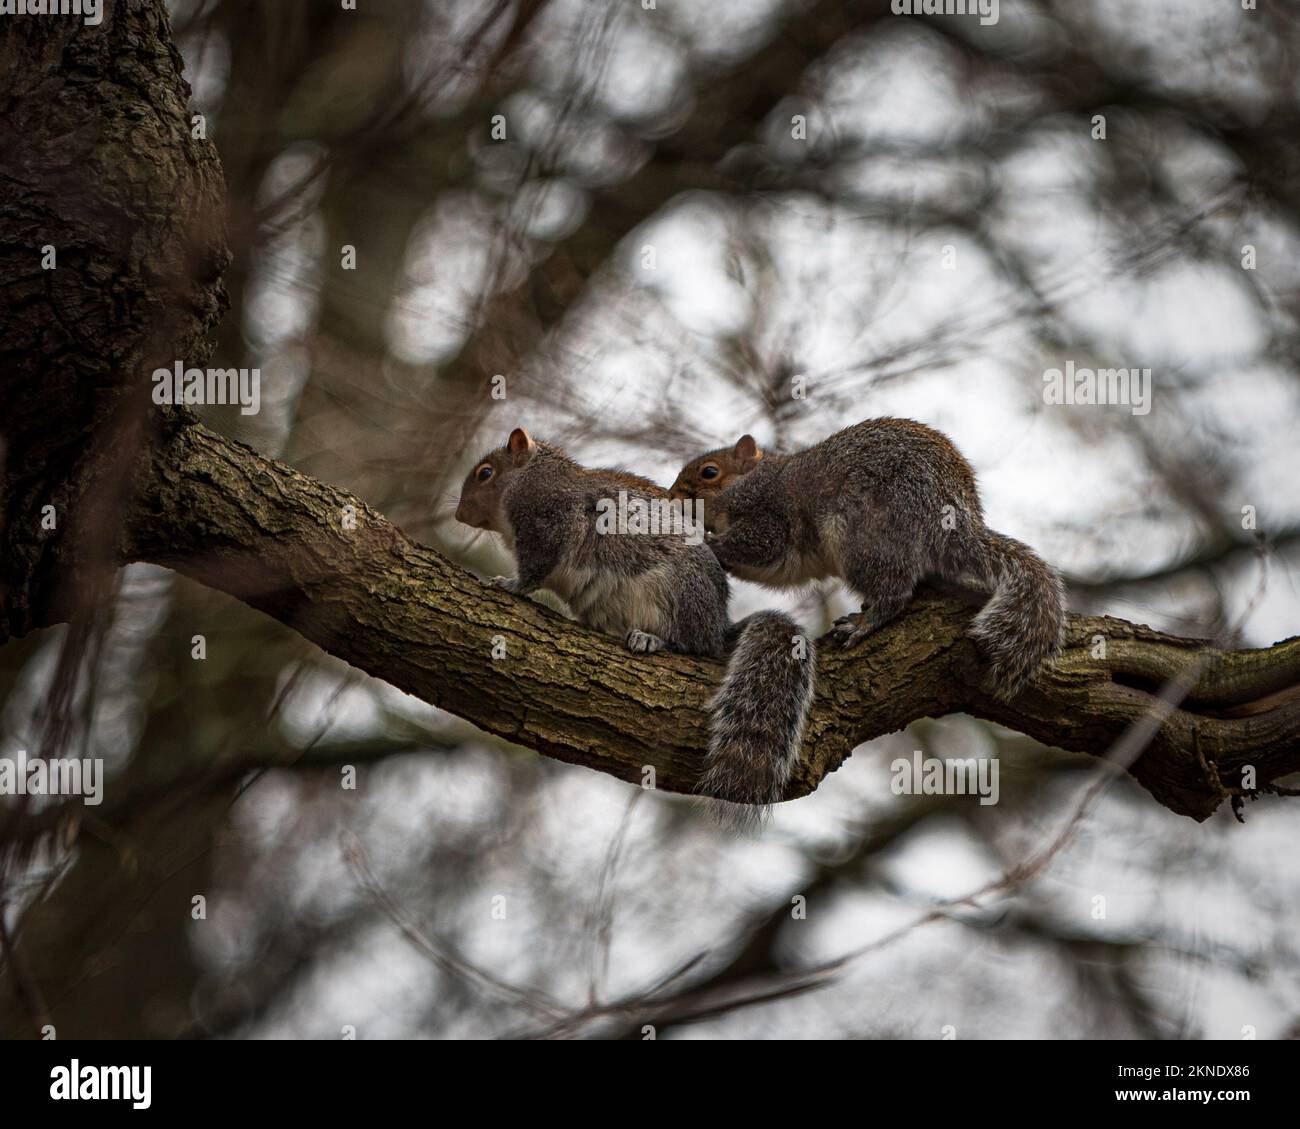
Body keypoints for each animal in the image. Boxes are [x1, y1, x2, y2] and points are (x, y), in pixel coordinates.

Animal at [455, 427, 815, 822]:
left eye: (485, 473)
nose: (458, 514)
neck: (531, 477)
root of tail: (718, 625)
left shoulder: (549, 524)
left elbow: (535, 571)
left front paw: (508, 584)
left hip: (677, 594)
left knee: (693, 645)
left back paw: (651, 639)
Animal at [668, 417, 1065, 699]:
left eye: (709, 472)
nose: (671, 497)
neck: (755, 479)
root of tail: (956, 519)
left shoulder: (771, 515)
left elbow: (762, 545)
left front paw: (710, 543)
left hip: (863, 534)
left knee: (897, 594)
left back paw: (865, 621)